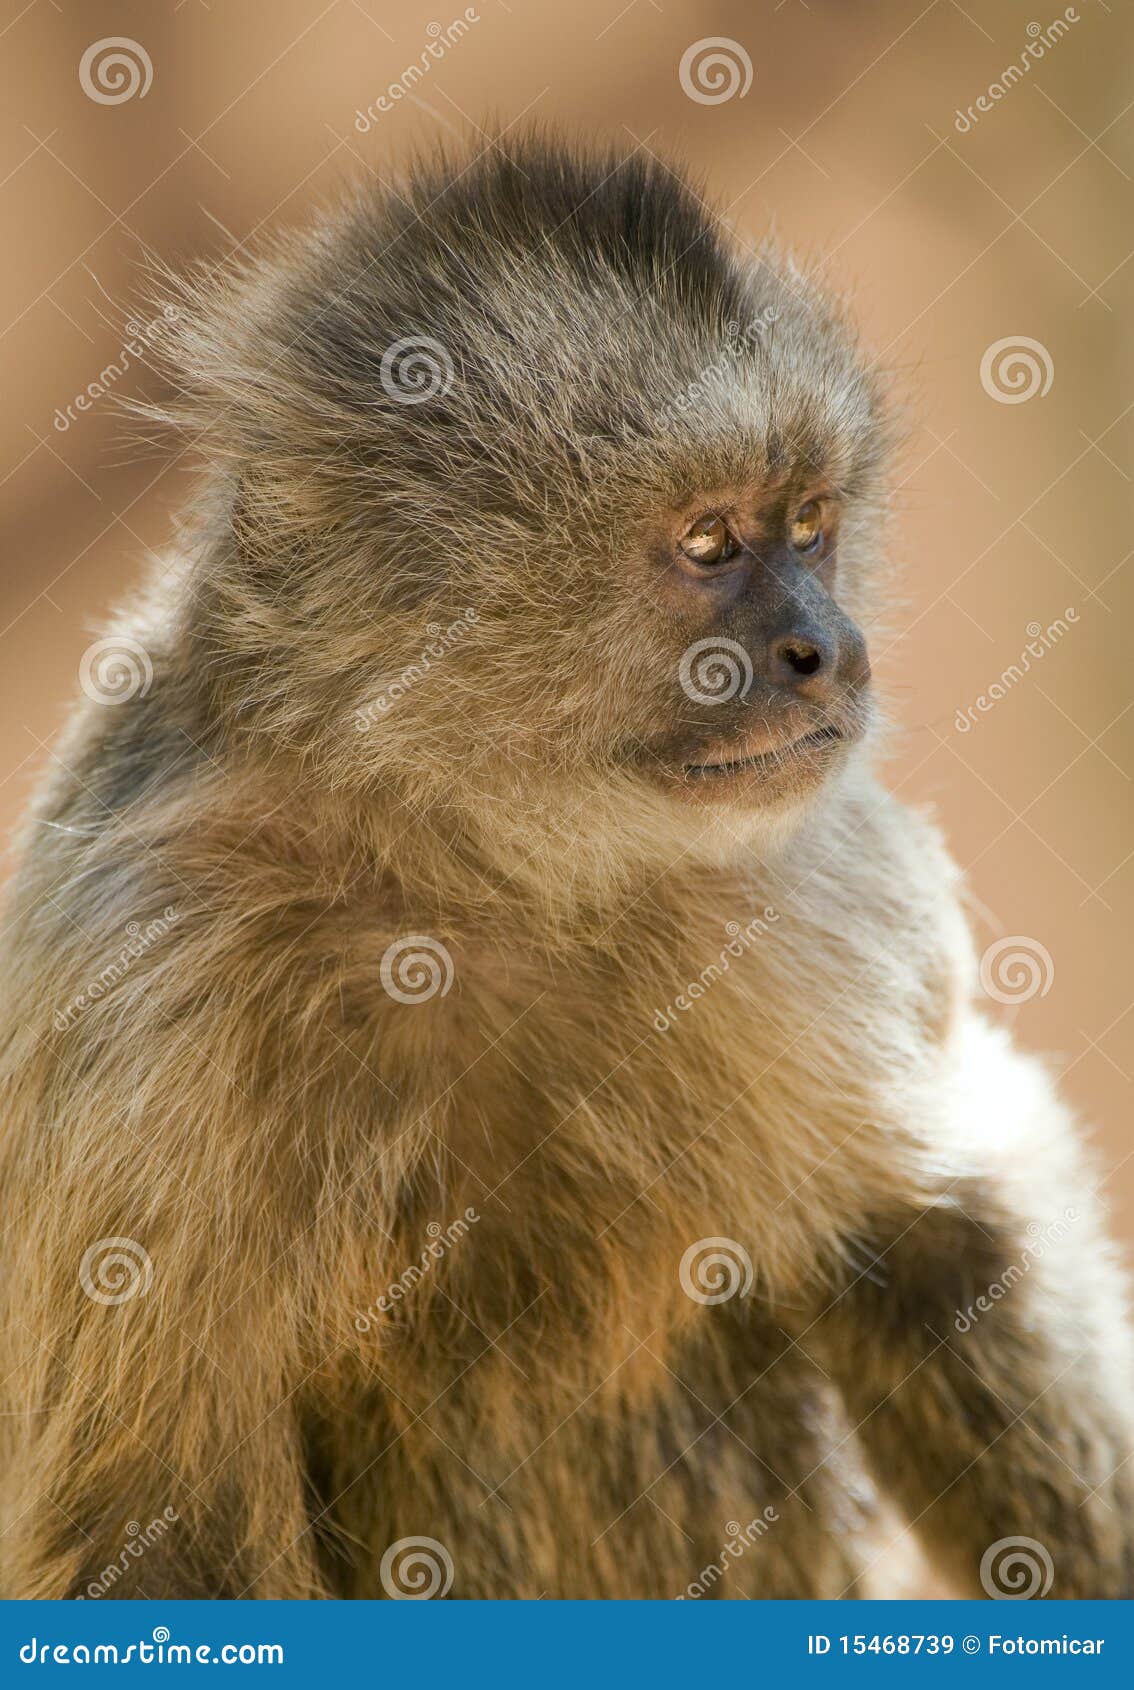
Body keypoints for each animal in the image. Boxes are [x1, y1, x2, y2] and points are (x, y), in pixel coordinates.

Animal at [0, 134, 1131, 1602]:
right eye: (708, 543)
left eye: (812, 523)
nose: (831, 648)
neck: (475, 873)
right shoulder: (144, 979)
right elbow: (150, 1522)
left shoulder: (811, 892)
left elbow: (945, 1229)